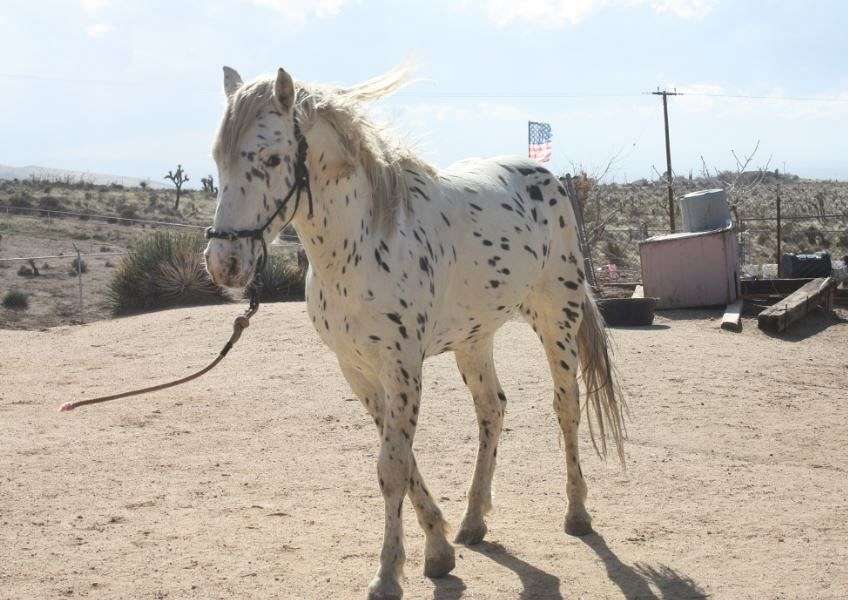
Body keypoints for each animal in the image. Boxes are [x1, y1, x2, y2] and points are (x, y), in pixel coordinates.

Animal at [204, 63, 626, 600]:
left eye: (273, 157)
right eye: (218, 160)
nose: (225, 263)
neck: (361, 244)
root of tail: (549, 179)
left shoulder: (402, 367)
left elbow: (393, 467)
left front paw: (388, 575)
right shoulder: (359, 370)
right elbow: (401, 460)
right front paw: (439, 550)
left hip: (557, 320)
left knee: (566, 407)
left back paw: (576, 513)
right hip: (474, 339)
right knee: (492, 410)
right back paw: (473, 521)